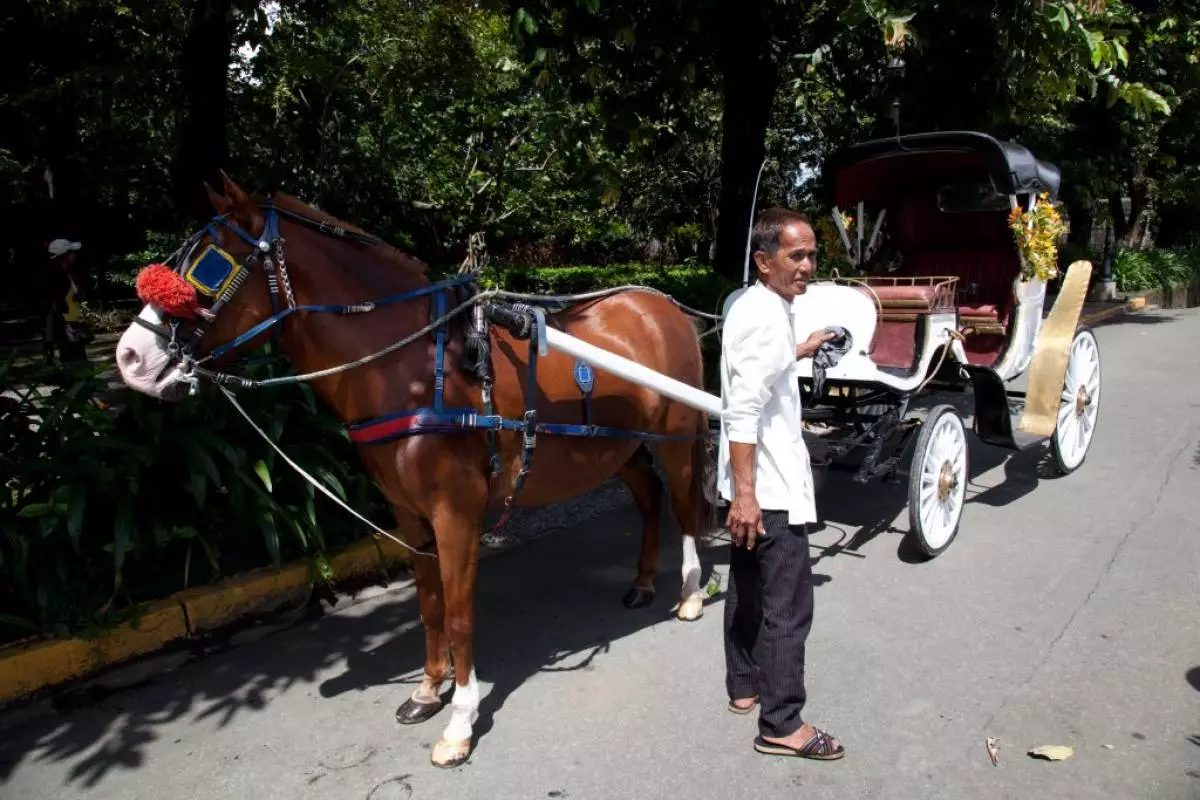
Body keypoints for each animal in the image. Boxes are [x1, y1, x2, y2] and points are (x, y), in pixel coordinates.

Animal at [112, 176, 710, 767]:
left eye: (209, 267)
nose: (129, 358)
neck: (412, 369)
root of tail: (661, 306)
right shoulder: (409, 512)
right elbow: (428, 603)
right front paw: (427, 690)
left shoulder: (456, 513)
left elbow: (461, 612)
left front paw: (461, 720)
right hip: (619, 448)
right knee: (649, 495)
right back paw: (641, 581)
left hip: (678, 438)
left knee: (684, 505)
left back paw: (690, 592)